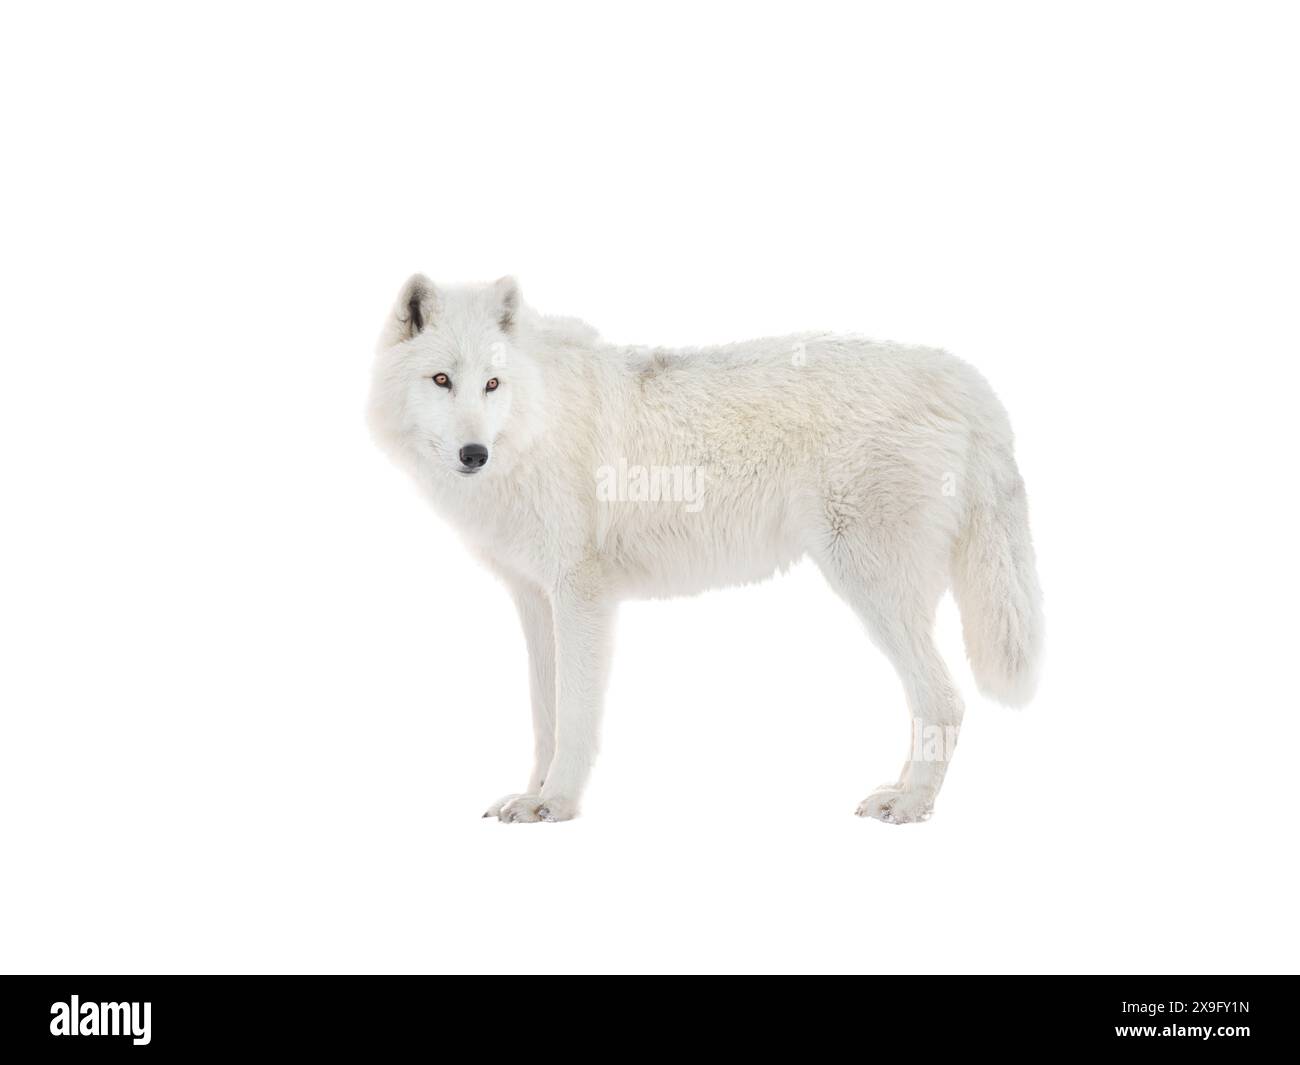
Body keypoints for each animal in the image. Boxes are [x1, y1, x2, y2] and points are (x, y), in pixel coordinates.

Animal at [368, 275, 1043, 824]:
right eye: (441, 380)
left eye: (491, 384)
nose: (473, 454)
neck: (536, 423)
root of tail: (964, 378)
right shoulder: (536, 599)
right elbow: (545, 715)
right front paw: (530, 794)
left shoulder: (581, 597)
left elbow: (576, 716)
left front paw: (555, 803)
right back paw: (902, 792)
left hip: (870, 587)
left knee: (945, 700)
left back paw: (909, 804)